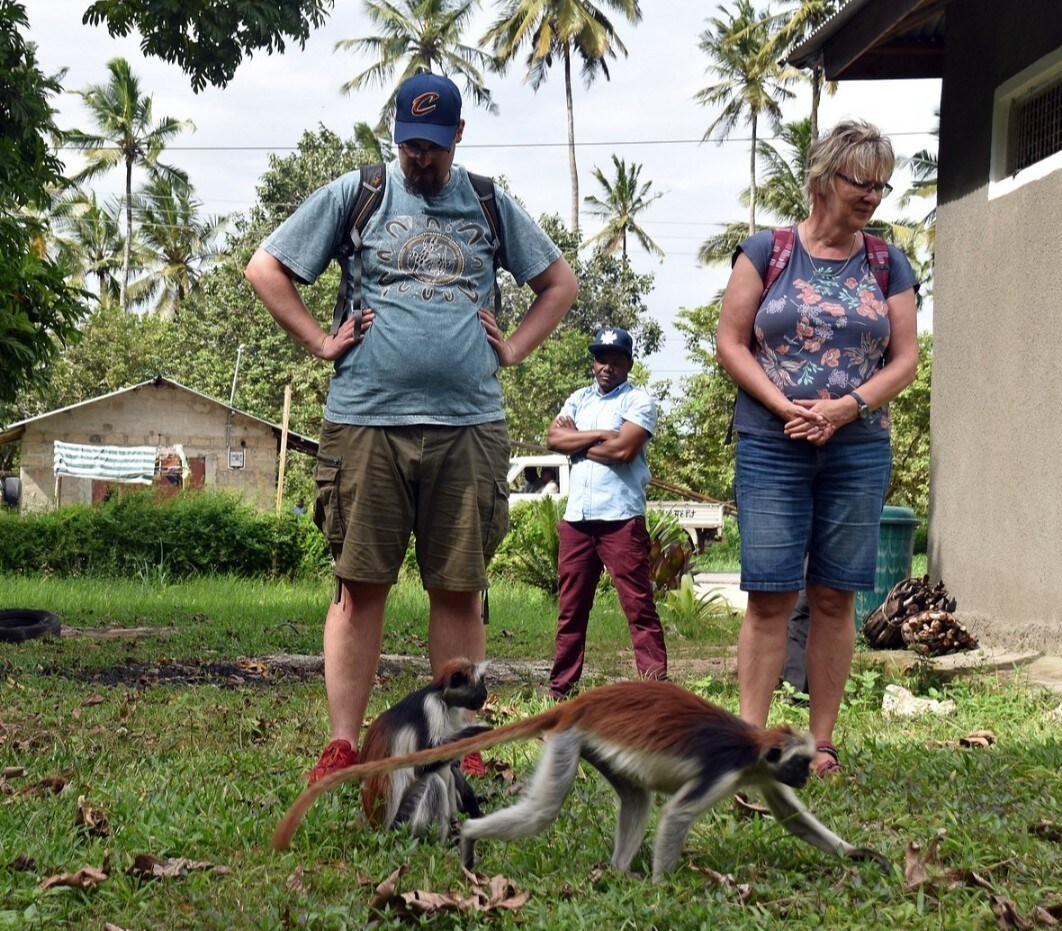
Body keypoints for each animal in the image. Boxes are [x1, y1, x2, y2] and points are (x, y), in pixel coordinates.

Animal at [273, 679, 891, 880]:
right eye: (803, 763)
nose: (810, 774)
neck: (754, 746)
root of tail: (583, 701)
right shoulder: (729, 766)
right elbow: (679, 814)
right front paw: (663, 888)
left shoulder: (759, 769)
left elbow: (790, 816)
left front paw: (857, 854)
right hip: (571, 738)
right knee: (547, 810)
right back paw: (470, 838)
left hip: (593, 742)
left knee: (635, 793)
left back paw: (614, 873)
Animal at [358, 658, 491, 842]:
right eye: (480, 681)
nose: (485, 693)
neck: (441, 696)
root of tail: (376, 826)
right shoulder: (431, 707)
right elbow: (421, 766)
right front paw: (478, 732)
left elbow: (452, 764)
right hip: (402, 824)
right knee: (433, 780)